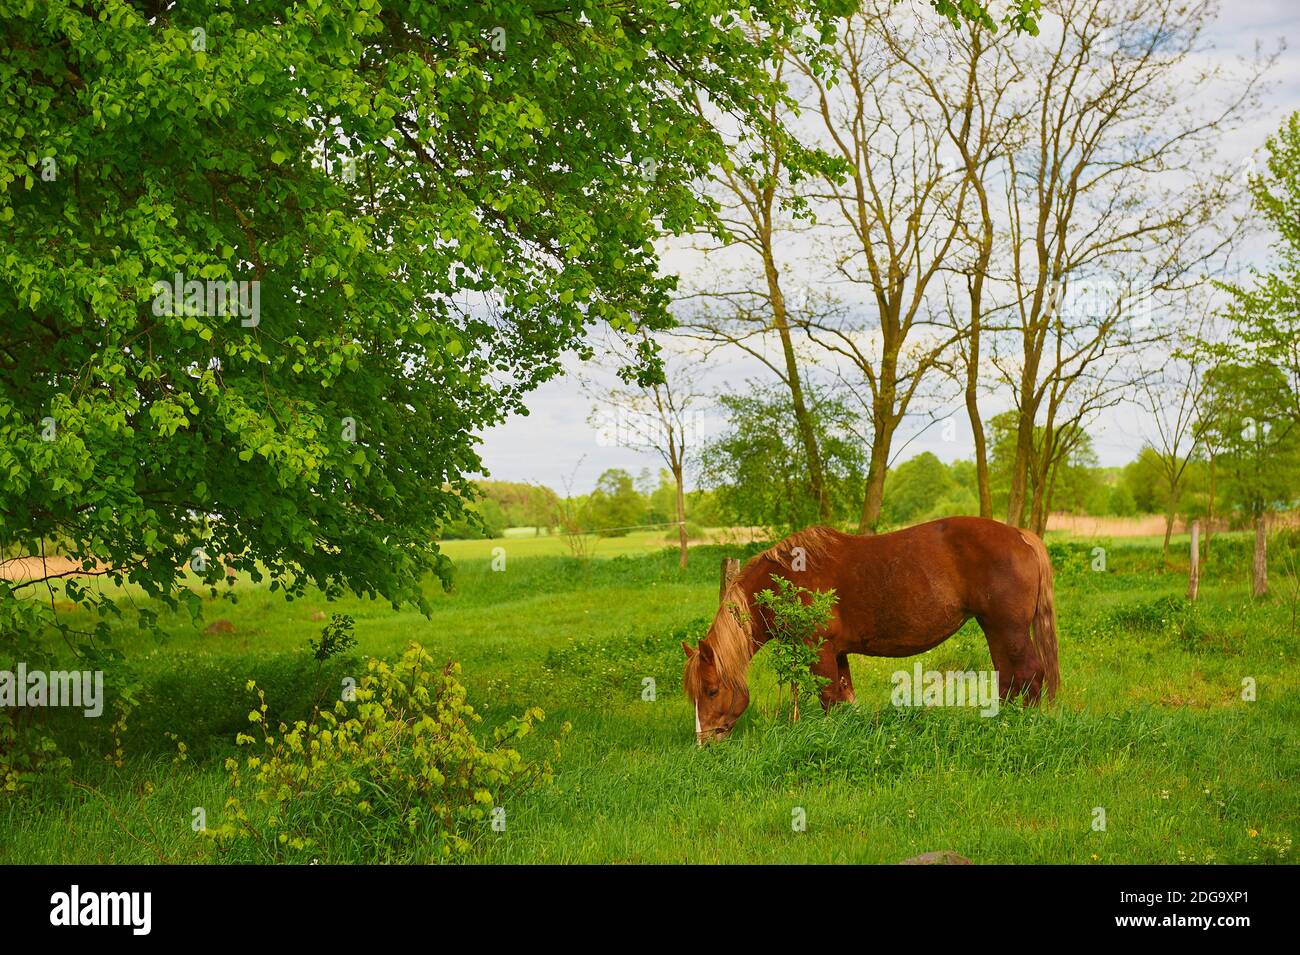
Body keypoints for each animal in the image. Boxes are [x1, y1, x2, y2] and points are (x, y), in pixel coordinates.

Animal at [682, 516, 1059, 743]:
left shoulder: (820, 652)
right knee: (1008, 676)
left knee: (1029, 673)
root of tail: (1021, 536)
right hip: (994, 628)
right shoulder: (838, 654)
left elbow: (829, 698)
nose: (705, 742)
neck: (789, 577)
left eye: (712, 691)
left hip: (1009, 629)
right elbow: (845, 699)